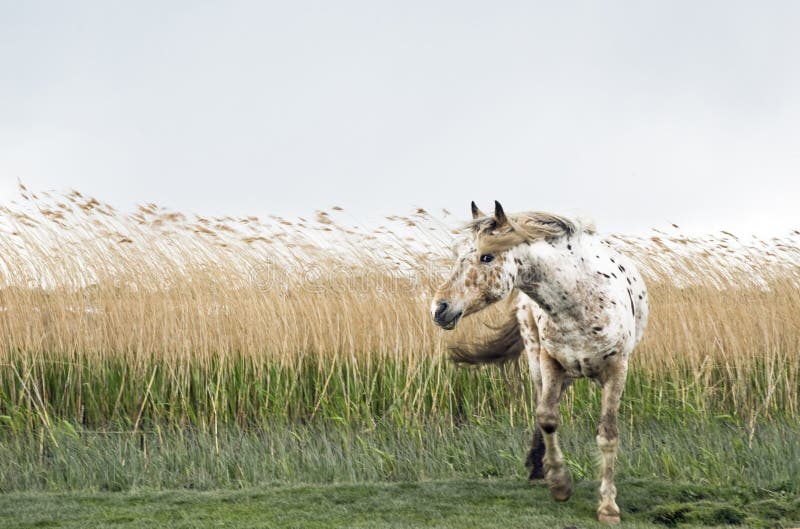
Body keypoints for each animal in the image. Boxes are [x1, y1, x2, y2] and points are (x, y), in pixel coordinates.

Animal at [431, 201, 649, 524]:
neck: (579, 300)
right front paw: (559, 483)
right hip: (539, 362)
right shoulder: (550, 361)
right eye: (459, 255)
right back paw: (538, 467)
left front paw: (608, 507)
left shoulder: (616, 370)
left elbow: (608, 434)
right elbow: (547, 417)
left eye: (487, 256)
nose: (439, 308)